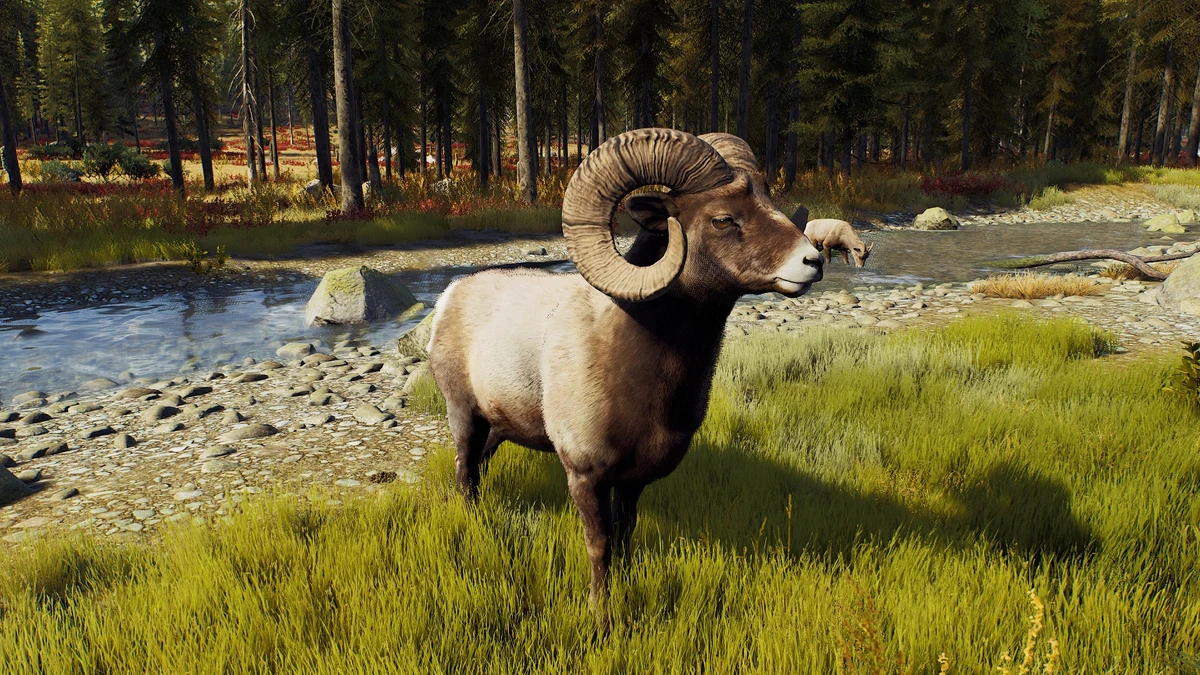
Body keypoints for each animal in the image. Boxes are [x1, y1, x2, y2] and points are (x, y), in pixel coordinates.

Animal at [426, 129, 823, 628]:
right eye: (723, 218)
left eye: (769, 201)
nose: (813, 261)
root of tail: (450, 297)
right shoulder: (586, 476)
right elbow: (599, 546)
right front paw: (601, 615)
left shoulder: (633, 481)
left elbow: (625, 536)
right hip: (464, 416)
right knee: (465, 473)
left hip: (499, 426)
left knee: (479, 468)